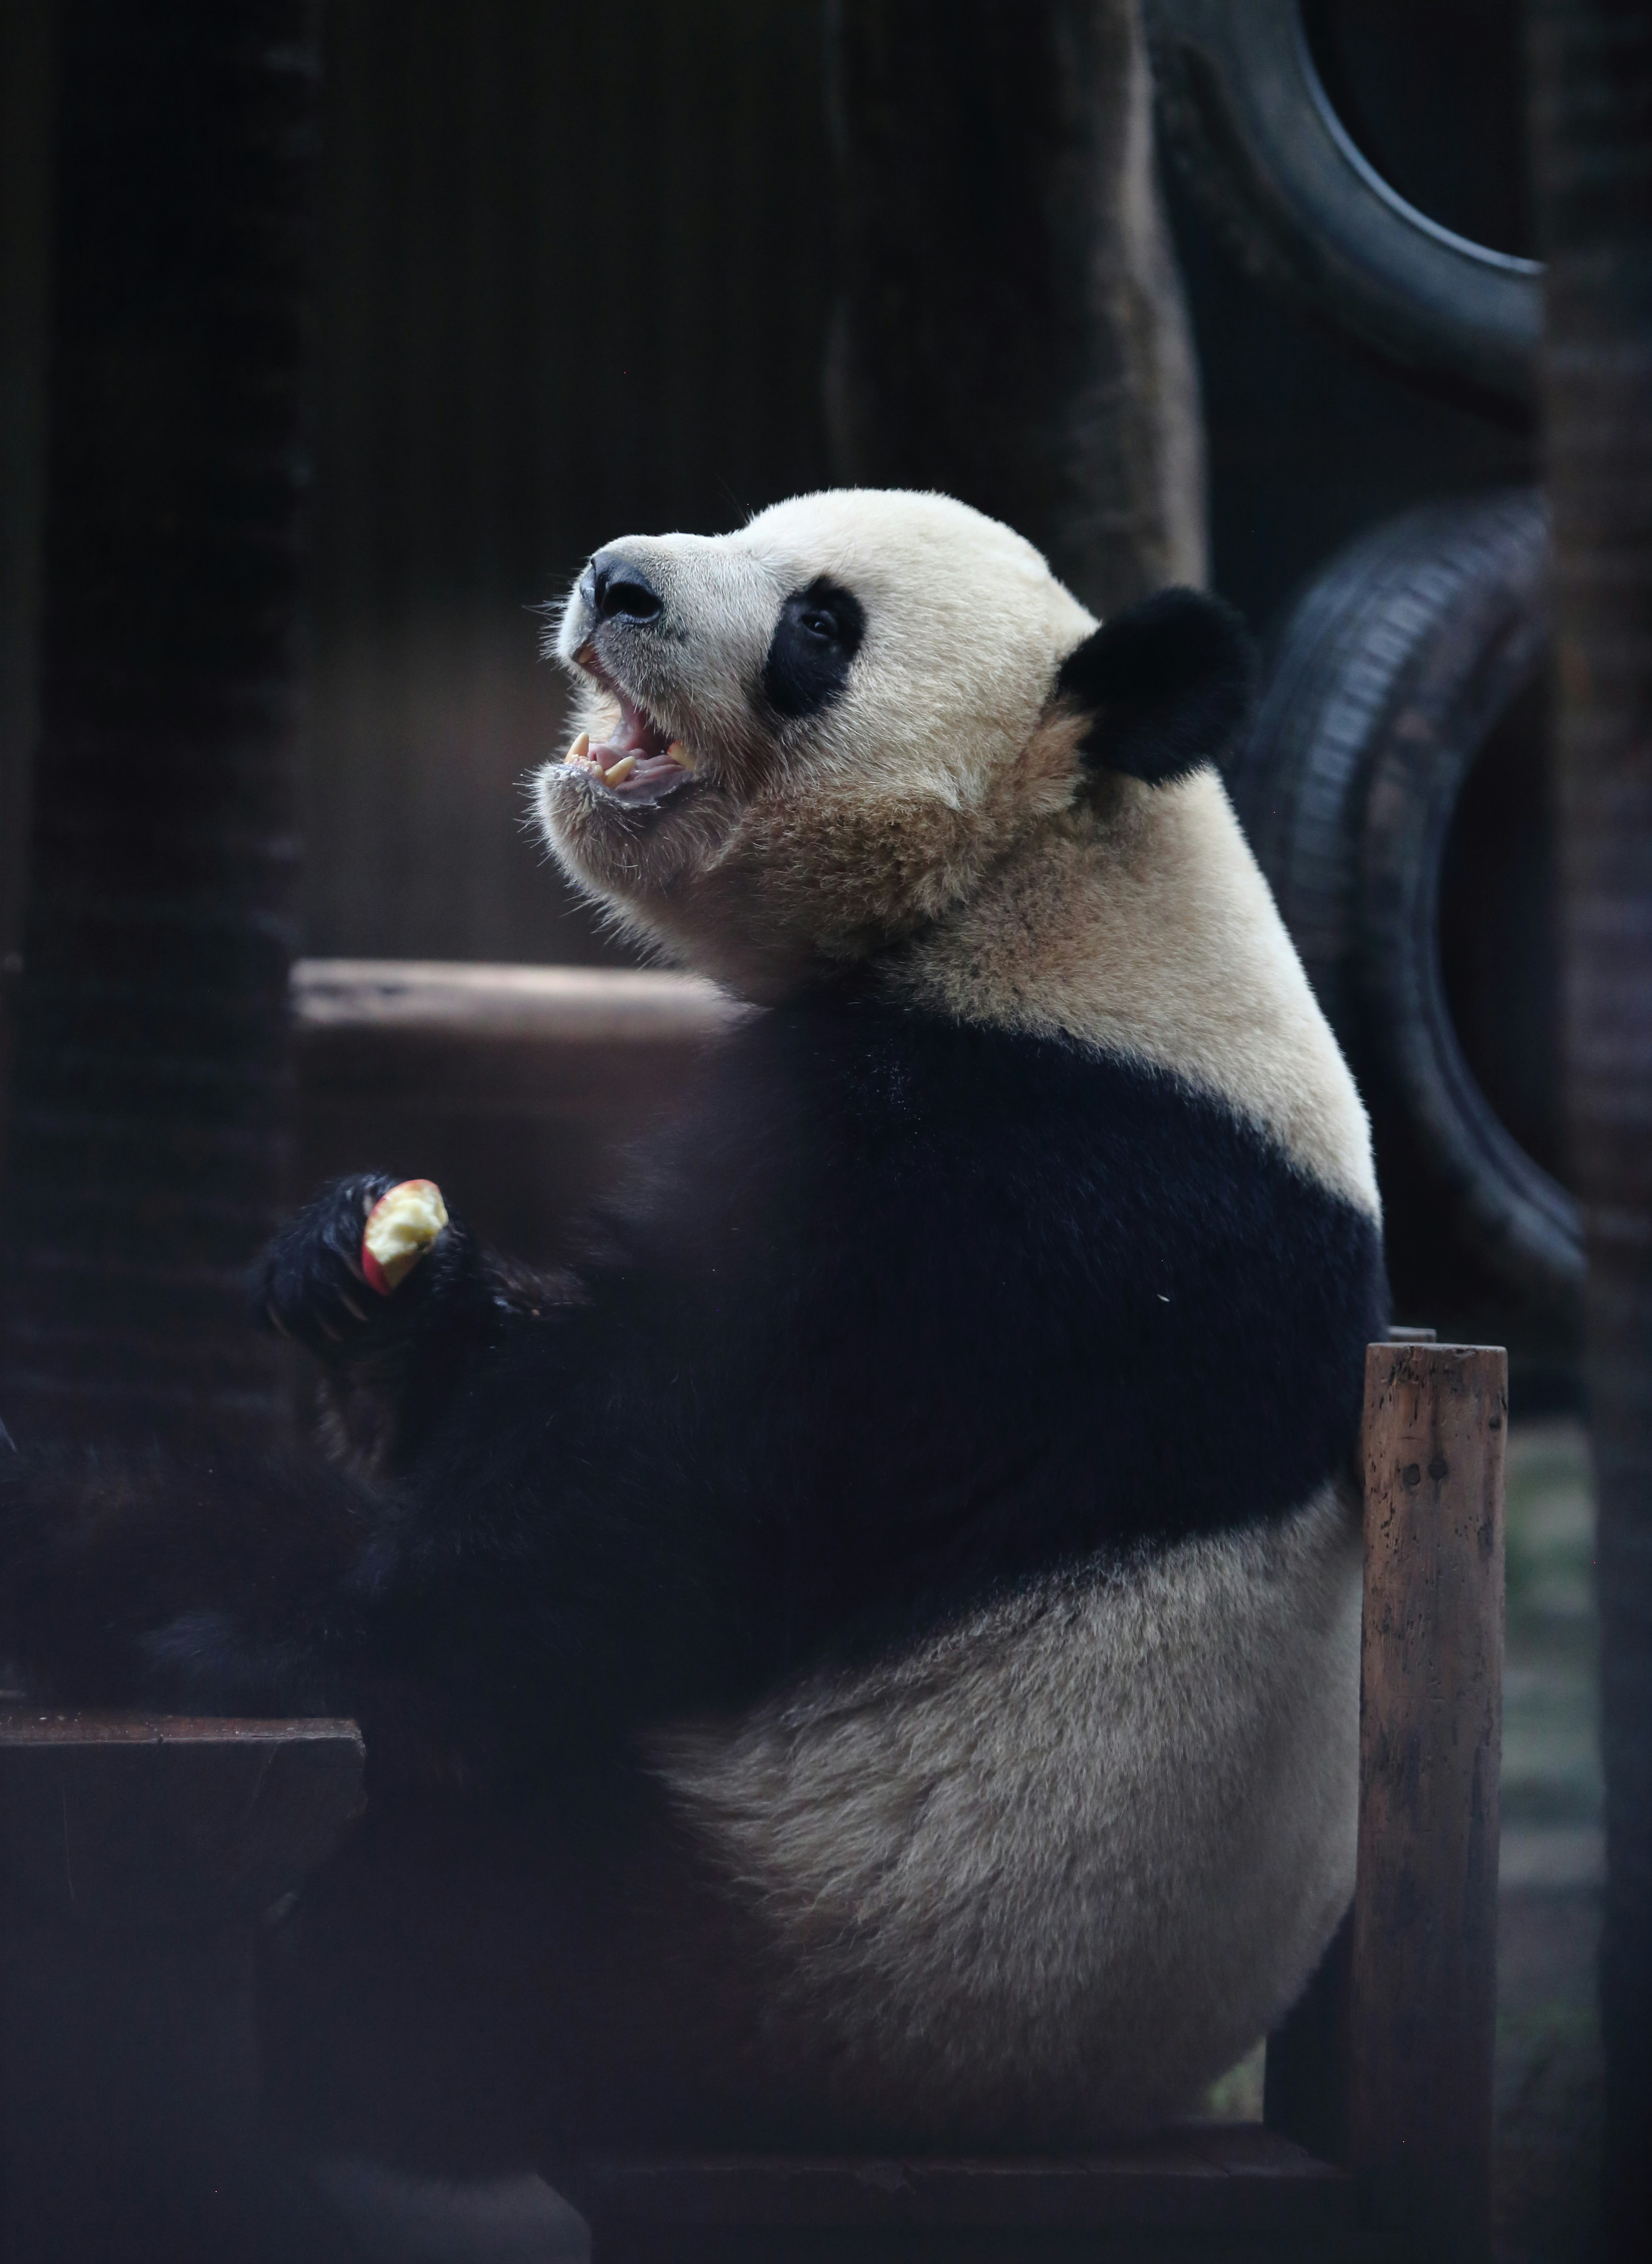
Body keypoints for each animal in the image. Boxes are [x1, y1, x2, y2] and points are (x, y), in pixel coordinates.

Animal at [0, 489, 1385, 2168]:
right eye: (749, 525)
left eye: (819, 625)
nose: (615, 581)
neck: (1042, 884)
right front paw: (361, 1266)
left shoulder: (1021, 1194)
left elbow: (658, 1486)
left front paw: (265, 1646)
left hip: (770, 1914)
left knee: (440, 1904)